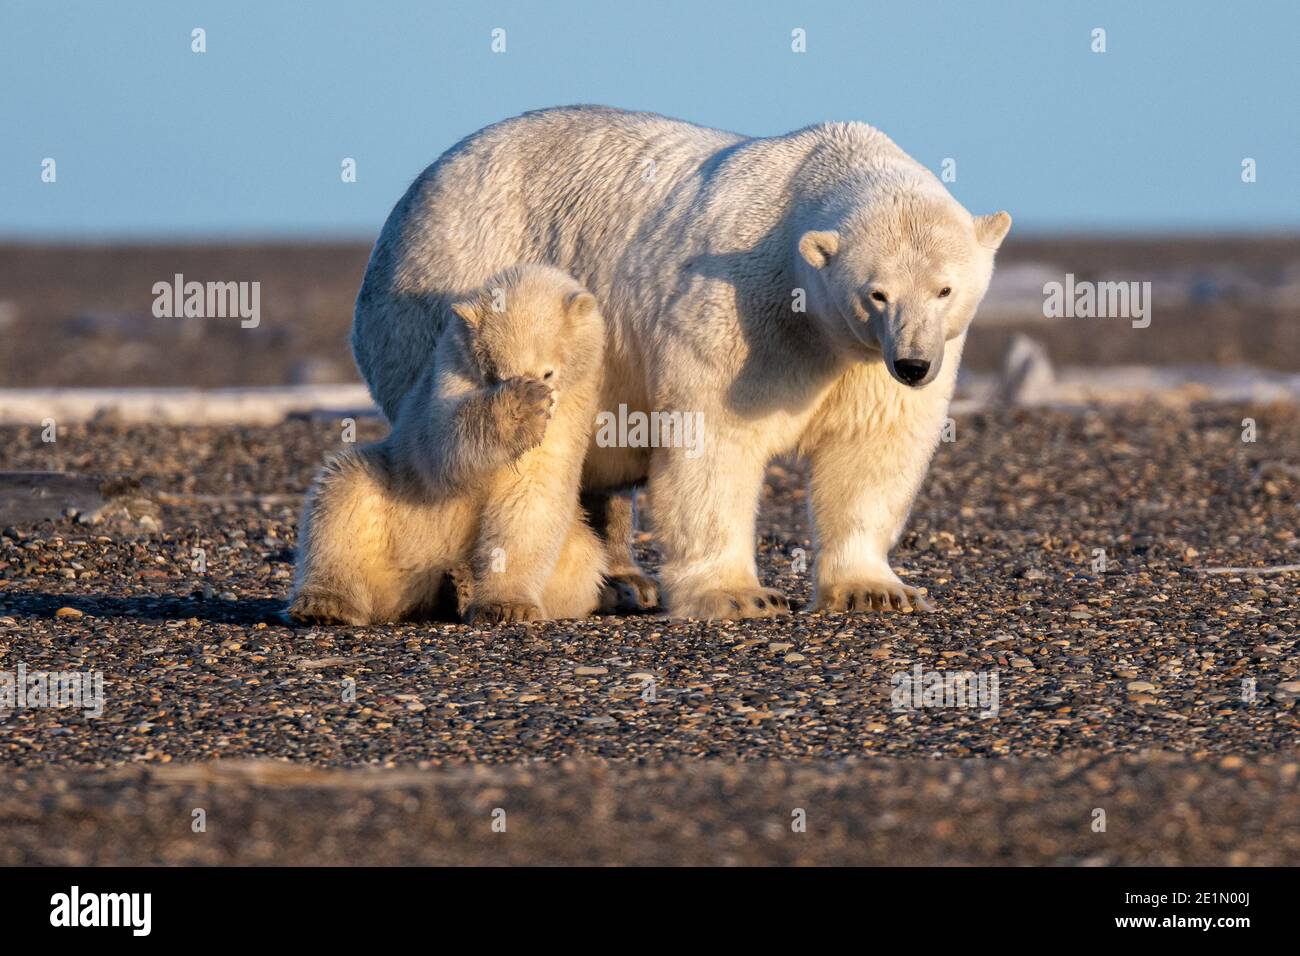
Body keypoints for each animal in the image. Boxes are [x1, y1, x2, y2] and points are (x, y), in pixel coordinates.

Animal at [289, 263, 609, 625]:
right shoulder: (449, 367)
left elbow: (530, 496)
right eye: (495, 374)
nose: (532, 392)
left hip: (575, 544)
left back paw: (457, 584)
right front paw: (519, 409)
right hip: (393, 501)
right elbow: (438, 446)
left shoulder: (568, 415)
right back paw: (327, 605)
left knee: (584, 562)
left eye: (548, 373)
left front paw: (508, 606)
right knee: (343, 494)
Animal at [349, 106, 1011, 620]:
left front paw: (875, 590)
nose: (915, 363)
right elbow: (714, 440)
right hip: (460, 298)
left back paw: (622, 578)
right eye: (877, 293)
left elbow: (872, 448)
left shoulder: (867, 363)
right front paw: (741, 596)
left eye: (944, 289)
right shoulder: (741, 314)